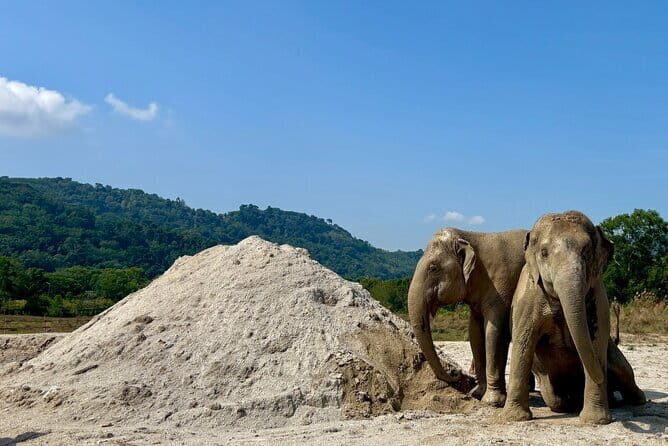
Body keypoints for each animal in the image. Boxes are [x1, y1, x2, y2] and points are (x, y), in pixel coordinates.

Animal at [408, 227, 528, 406]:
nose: (456, 373)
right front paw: (476, 394)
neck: (470, 235)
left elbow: (492, 332)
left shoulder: (501, 285)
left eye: (433, 268)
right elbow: (475, 333)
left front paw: (491, 401)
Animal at [502, 211, 645, 424]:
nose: (603, 379)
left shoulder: (598, 296)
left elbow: (596, 342)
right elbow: (523, 342)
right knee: (555, 400)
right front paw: (515, 418)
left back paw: (633, 400)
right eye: (544, 252)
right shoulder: (526, 297)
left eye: (586, 251)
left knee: (624, 369)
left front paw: (595, 421)